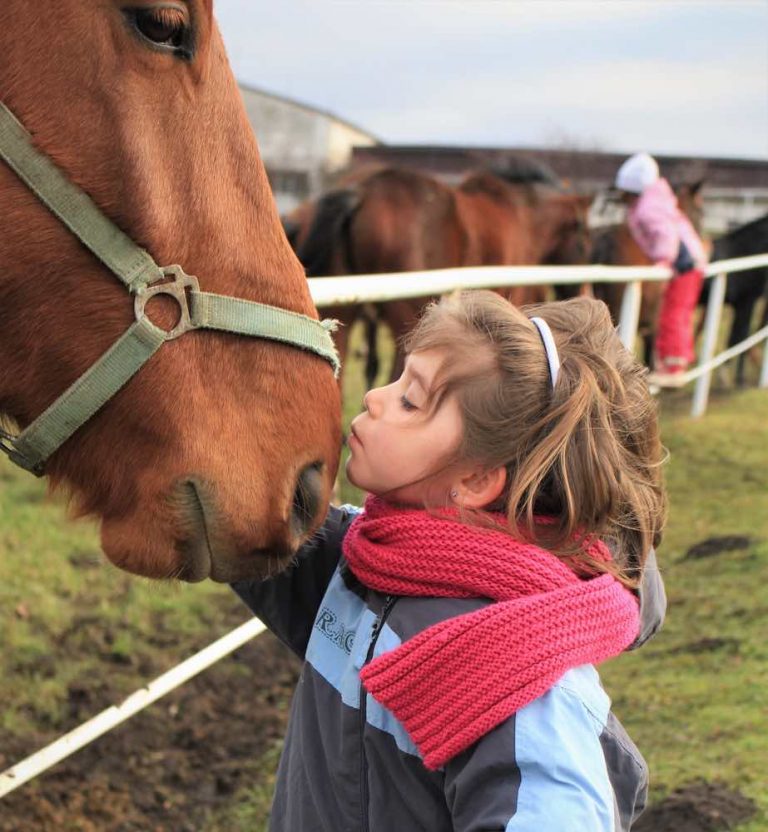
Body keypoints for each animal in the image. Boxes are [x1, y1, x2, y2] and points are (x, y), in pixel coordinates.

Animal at [290, 160, 593, 386]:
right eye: (584, 241)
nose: (583, 293)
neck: (524, 215)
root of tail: (361, 191)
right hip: (406, 316)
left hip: (346, 316)